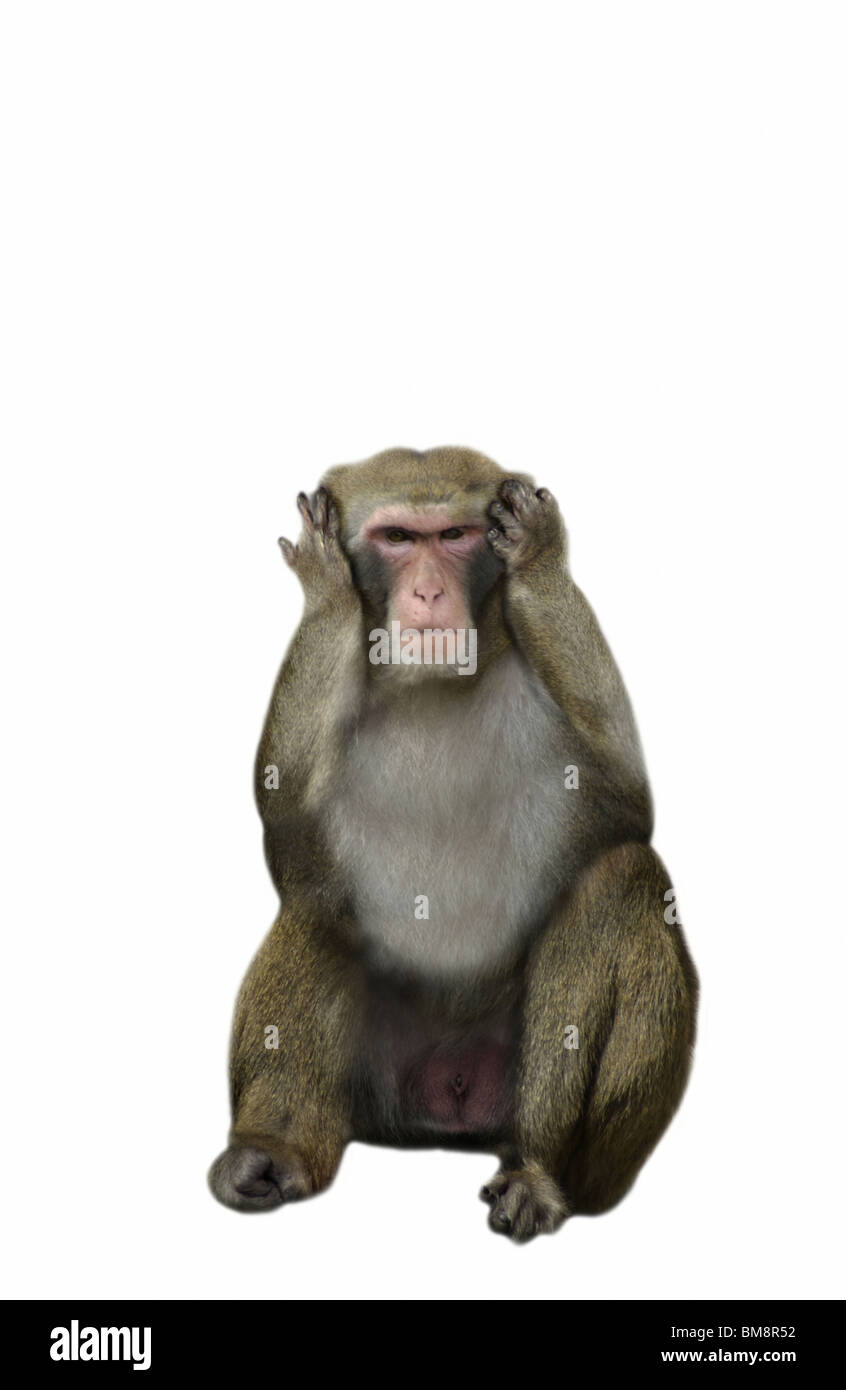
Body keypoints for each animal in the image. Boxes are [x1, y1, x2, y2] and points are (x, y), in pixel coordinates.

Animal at [208, 446, 697, 1241]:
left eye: (457, 536)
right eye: (398, 538)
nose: (430, 591)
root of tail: (451, 1108)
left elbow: (627, 815)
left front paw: (538, 553)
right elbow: (293, 845)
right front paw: (328, 591)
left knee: (625, 879)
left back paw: (539, 1172)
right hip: (381, 1093)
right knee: (320, 907)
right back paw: (274, 1154)